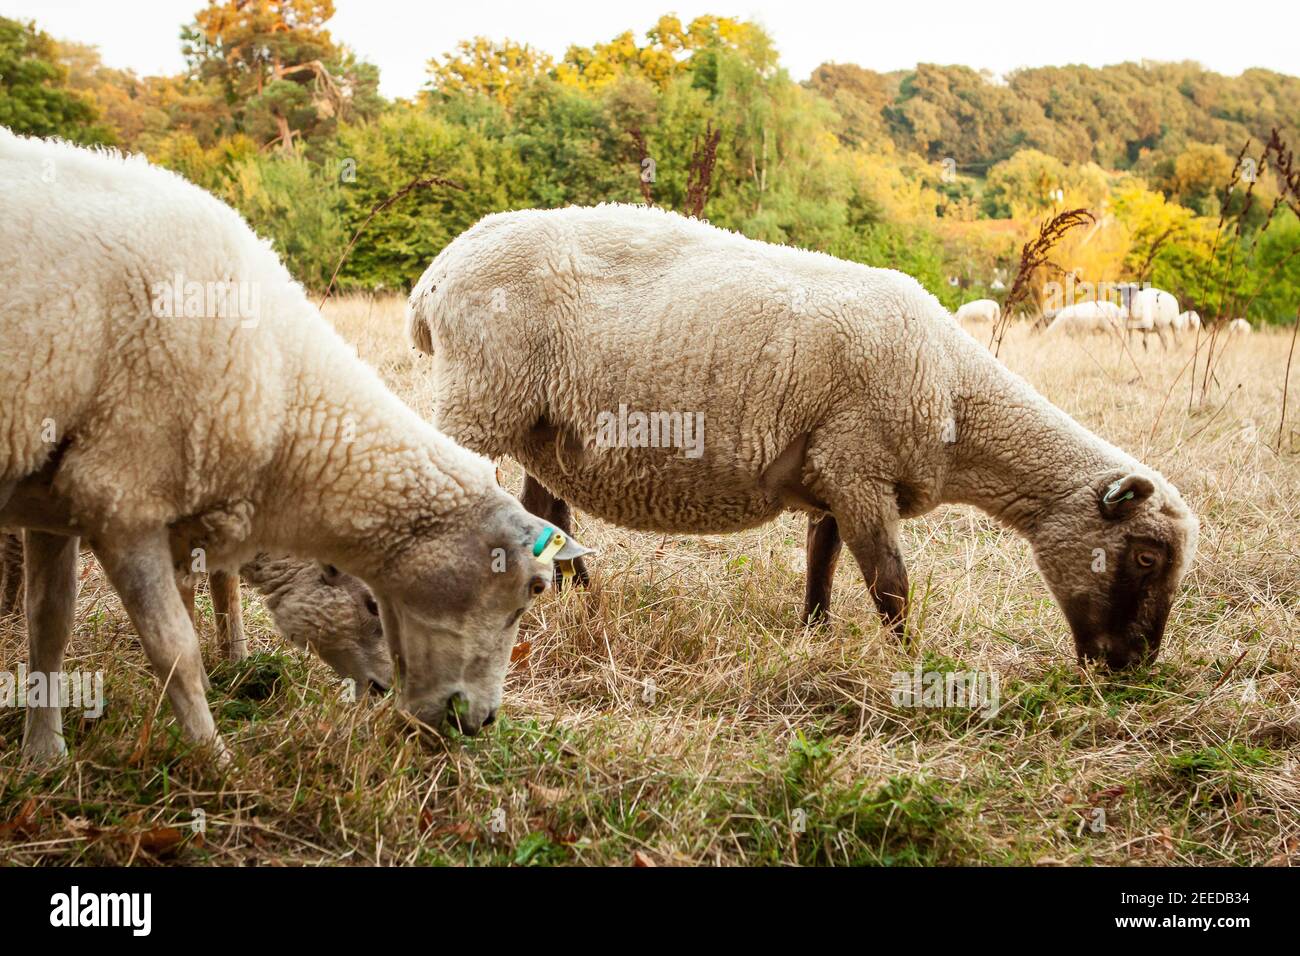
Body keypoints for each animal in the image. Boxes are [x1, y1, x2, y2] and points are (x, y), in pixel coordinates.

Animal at [0, 533, 391, 690]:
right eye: (373, 606)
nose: (386, 687)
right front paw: (202, 682)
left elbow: (225, 583)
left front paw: (237, 660)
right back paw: (13, 618)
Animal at [407, 204, 1199, 670]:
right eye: (1148, 557)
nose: (1133, 668)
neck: (955, 393)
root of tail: (437, 272)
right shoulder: (859, 469)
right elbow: (891, 582)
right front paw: (908, 661)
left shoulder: (833, 473)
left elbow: (822, 563)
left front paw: (814, 638)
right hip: (480, 398)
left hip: (541, 424)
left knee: (547, 512)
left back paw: (577, 607)